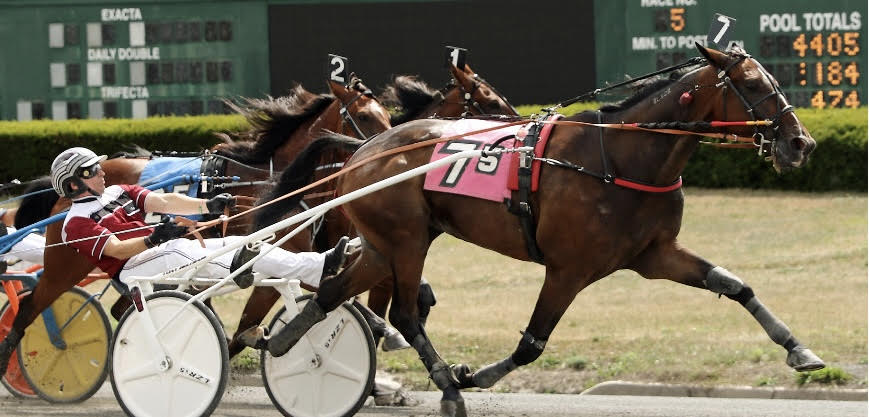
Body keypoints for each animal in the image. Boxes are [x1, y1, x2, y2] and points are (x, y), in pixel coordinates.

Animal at [247, 44, 823, 416]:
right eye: (753, 86)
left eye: (774, 81)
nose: (802, 143)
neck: (622, 155)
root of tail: (364, 149)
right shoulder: (569, 267)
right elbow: (532, 344)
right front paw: (473, 376)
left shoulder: (654, 253)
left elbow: (735, 285)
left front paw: (800, 350)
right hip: (405, 241)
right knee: (405, 313)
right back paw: (446, 387)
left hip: (388, 240)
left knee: (334, 289)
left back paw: (286, 341)